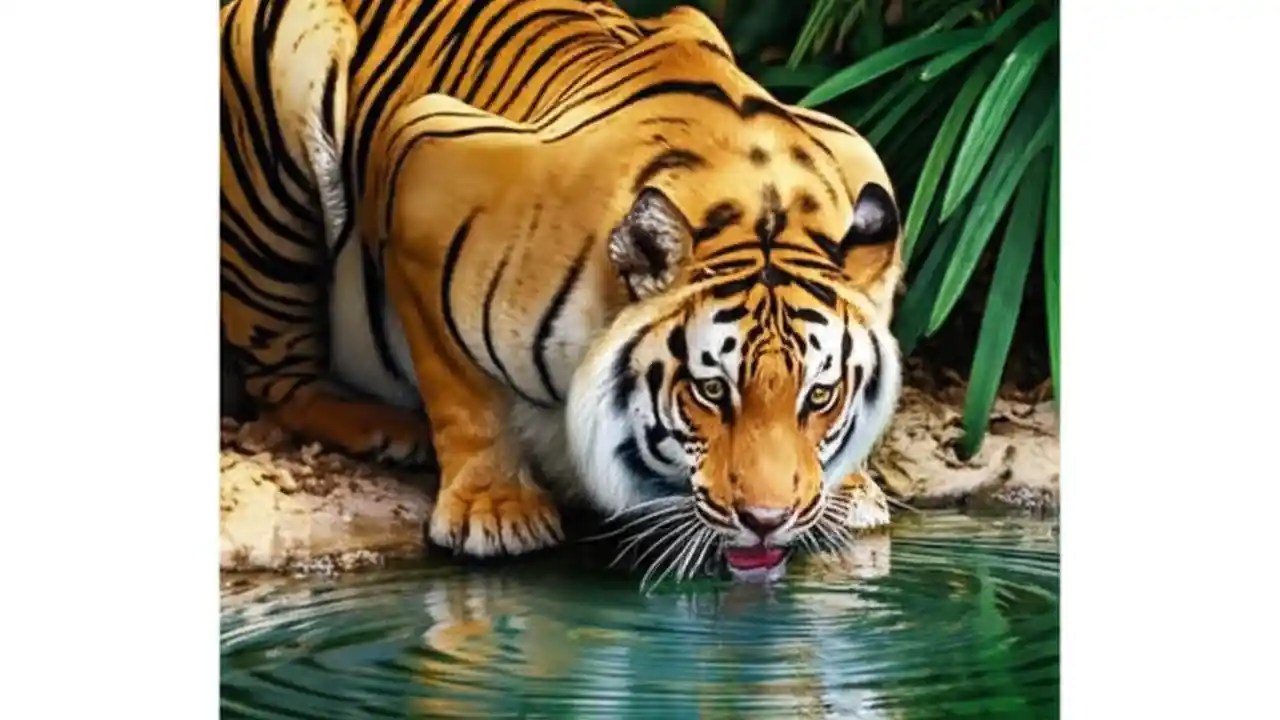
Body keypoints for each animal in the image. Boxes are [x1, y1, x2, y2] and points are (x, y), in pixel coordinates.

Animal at [220, 0, 903, 581]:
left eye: (820, 395)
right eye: (710, 391)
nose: (767, 522)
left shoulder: (858, 152)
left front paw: (848, 490)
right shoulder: (422, 169)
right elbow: (461, 390)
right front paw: (496, 511)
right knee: (281, 382)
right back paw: (386, 429)